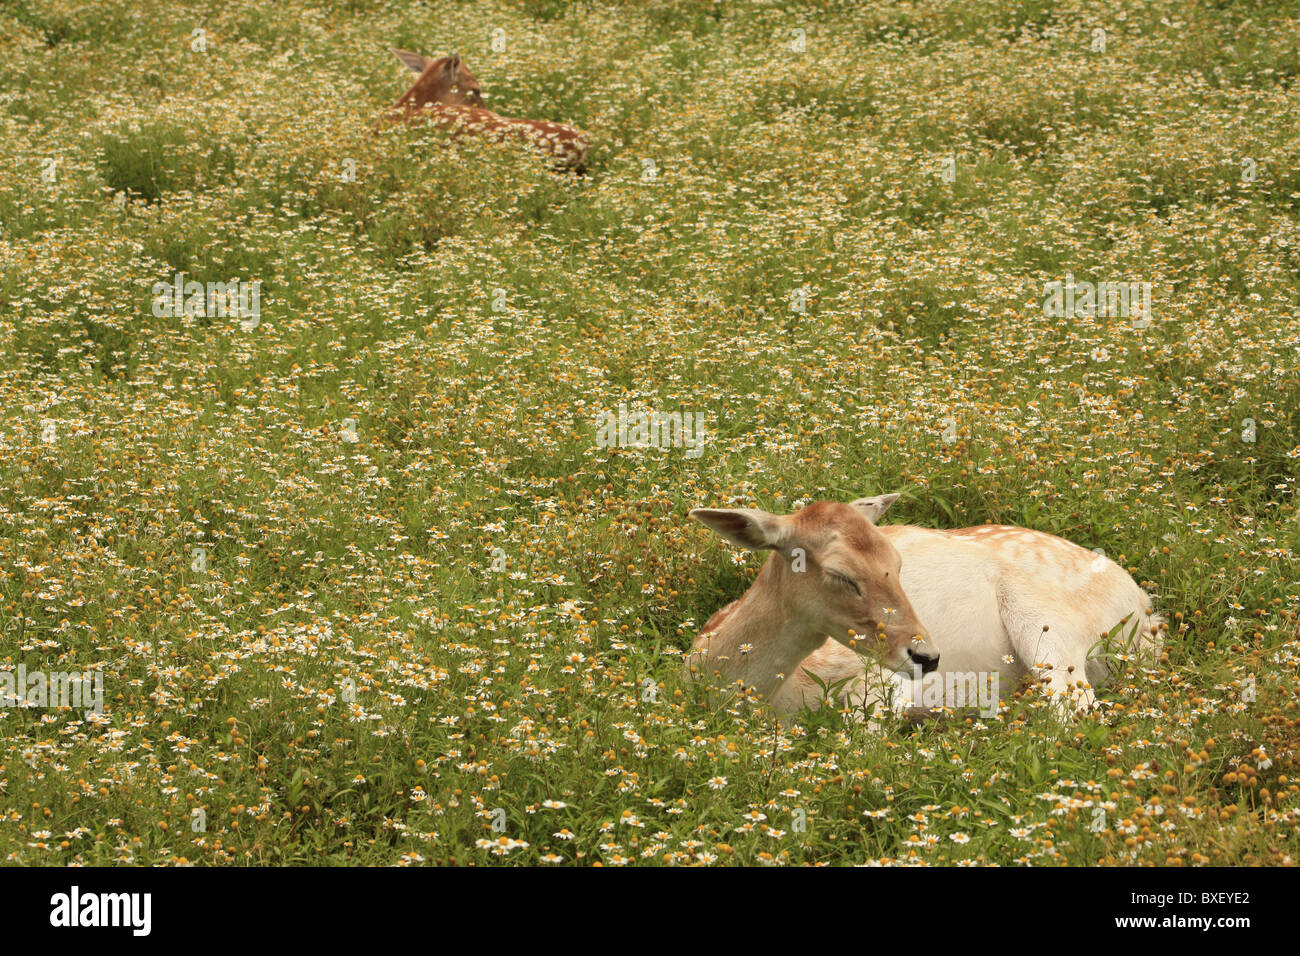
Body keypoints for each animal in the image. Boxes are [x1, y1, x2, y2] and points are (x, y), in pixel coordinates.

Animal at [686, 496, 1164, 721]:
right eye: (841, 574)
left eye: (897, 563)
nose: (927, 656)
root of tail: (1146, 611)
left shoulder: (876, 681)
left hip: (1049, 628)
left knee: (1075, 713)